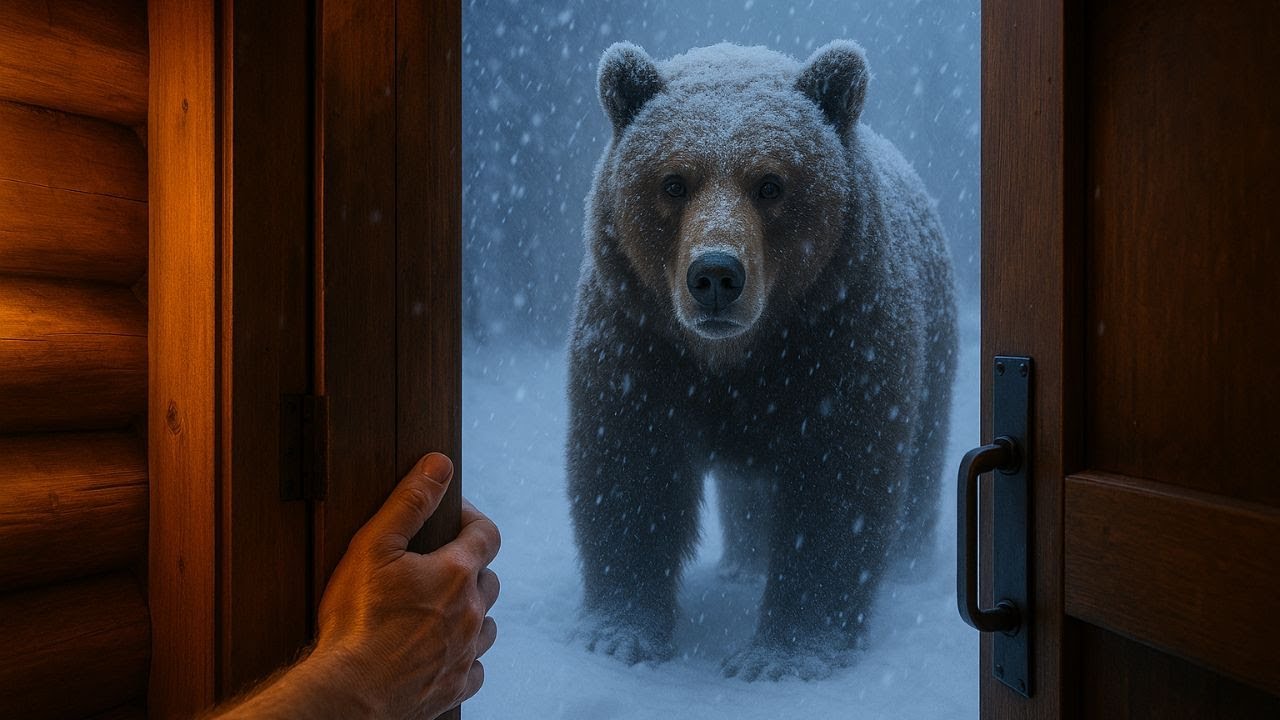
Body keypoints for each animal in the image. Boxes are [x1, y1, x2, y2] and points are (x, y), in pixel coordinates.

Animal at [566, 40, 957, 681]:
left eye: (771, 183)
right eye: (674, 181)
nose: (715, 275)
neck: (739, 356)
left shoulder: (842, 336)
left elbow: (838, 487)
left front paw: (783, 654)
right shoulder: (639, 337)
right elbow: (629, 470)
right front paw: (619, 633)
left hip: (935, 344)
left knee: (922, 458)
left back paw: (909, 566)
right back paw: (743, 563)